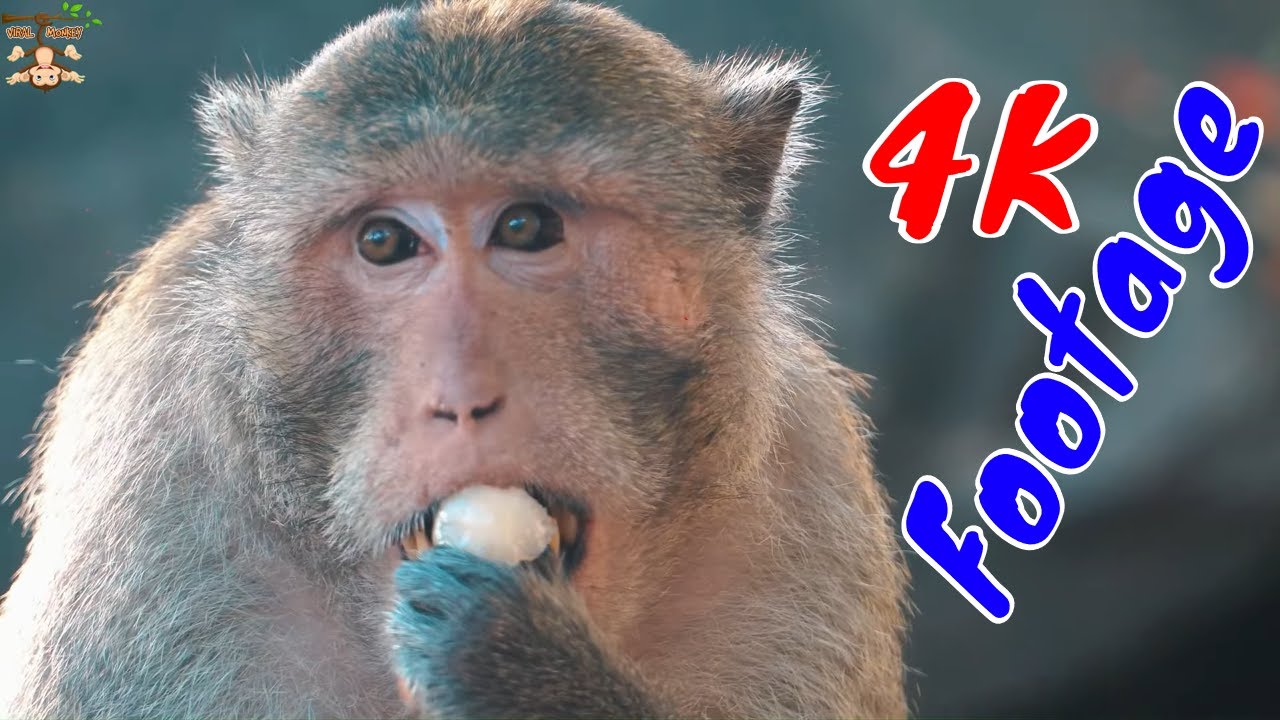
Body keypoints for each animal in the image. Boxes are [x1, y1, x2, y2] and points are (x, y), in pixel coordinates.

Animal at [0, 0, 909, 718]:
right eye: (384, 241)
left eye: (527, 227)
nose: (462, 397)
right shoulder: (155, 527)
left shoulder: (803, 513)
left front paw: (524, 673)